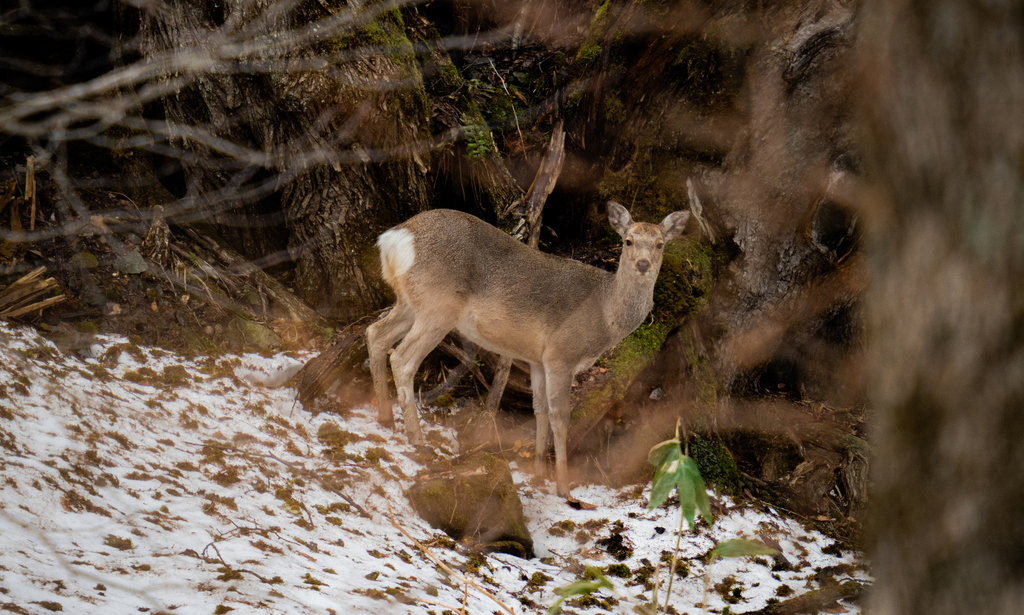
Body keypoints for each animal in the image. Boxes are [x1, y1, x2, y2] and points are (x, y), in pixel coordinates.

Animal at [366, 202, 690, 497]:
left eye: (660, 244)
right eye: (628, 241)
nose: (643, 264)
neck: (605, 314)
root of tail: (396, 238)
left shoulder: (538, 359)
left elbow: (540, 409)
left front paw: (537, 470)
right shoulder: (562, 354)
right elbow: (560, 416)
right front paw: (563, 487)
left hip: (411, 302)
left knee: (375, 334)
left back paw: (384, 417)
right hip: (438, 305)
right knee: (403, 358)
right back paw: (416, 438)